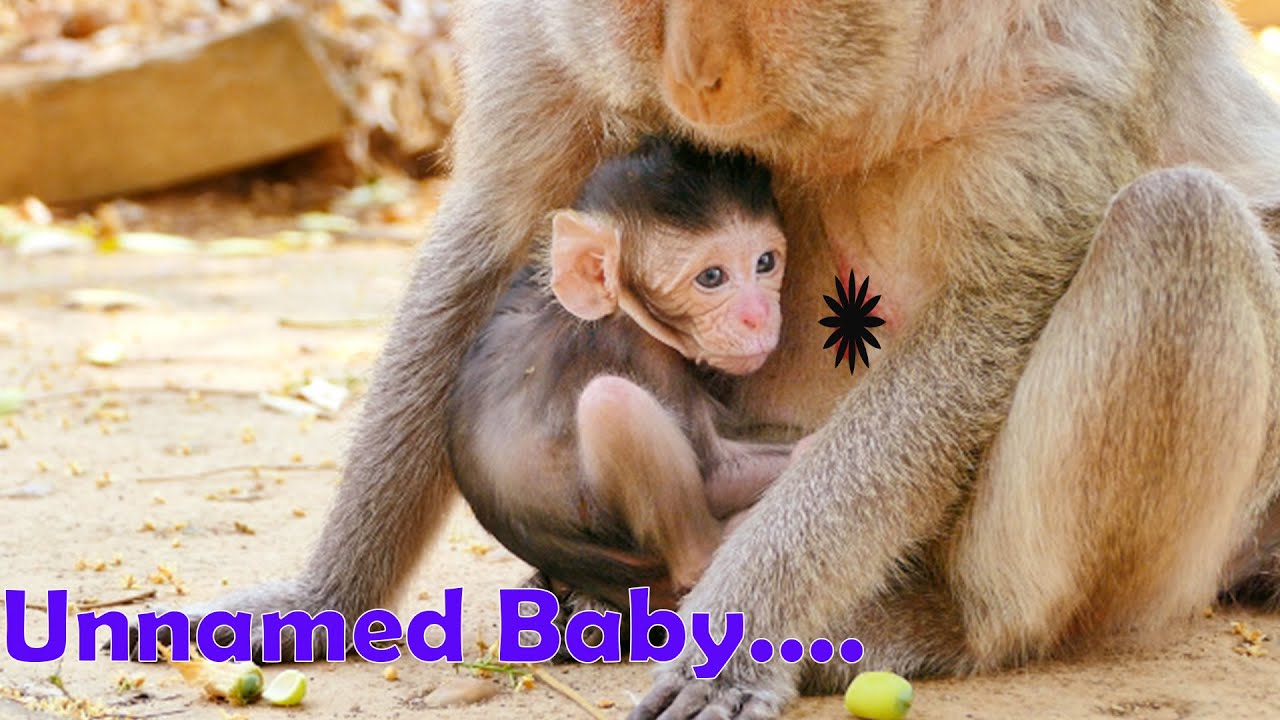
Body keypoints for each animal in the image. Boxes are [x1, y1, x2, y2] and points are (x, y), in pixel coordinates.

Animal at [447, 135, 794, 609]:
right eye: (711, 277)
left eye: (765, 263)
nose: (757, 315)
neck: (622, 309)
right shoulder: (640, 350)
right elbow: (715, 475)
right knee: (611, 401)